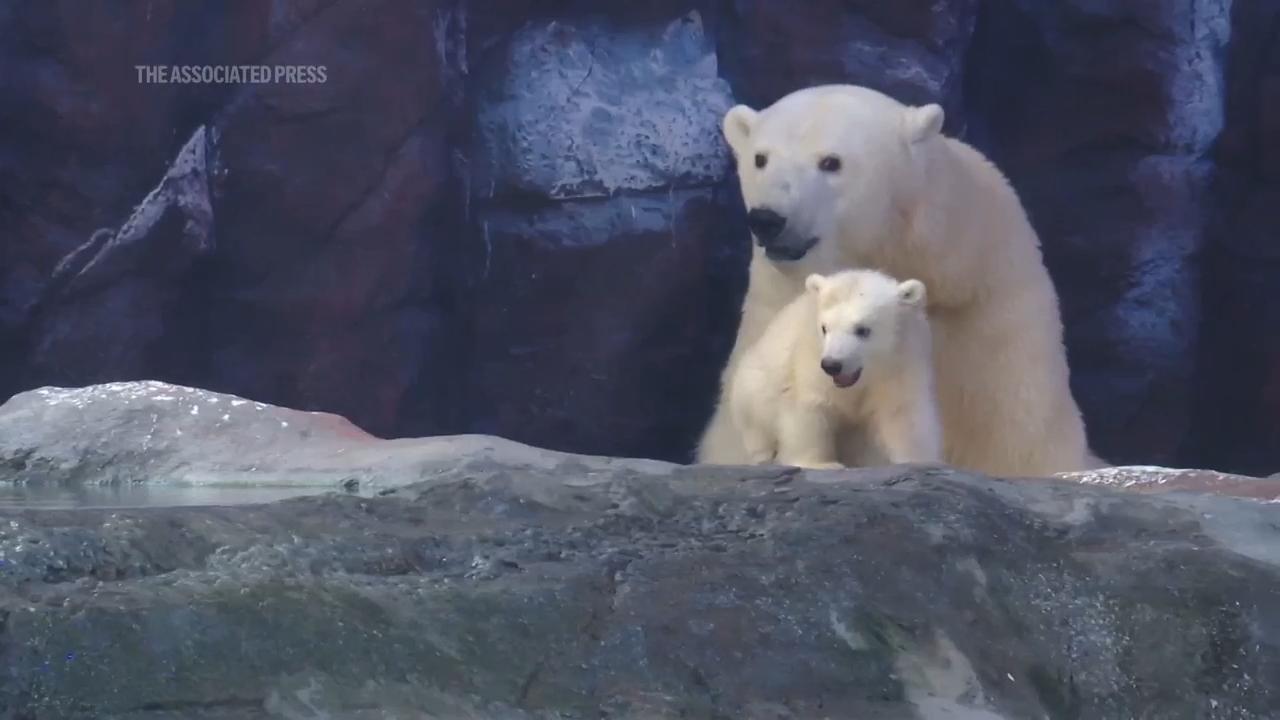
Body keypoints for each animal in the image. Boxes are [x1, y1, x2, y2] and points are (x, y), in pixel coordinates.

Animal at [728, 269, 942, 470]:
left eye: (863, 329)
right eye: (825, 328)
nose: (832, 365)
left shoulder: (899, 365)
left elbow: (902, 415)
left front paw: (920, 461)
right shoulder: (810, 360)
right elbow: (810, 409)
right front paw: (820, 464)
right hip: (752, 389)